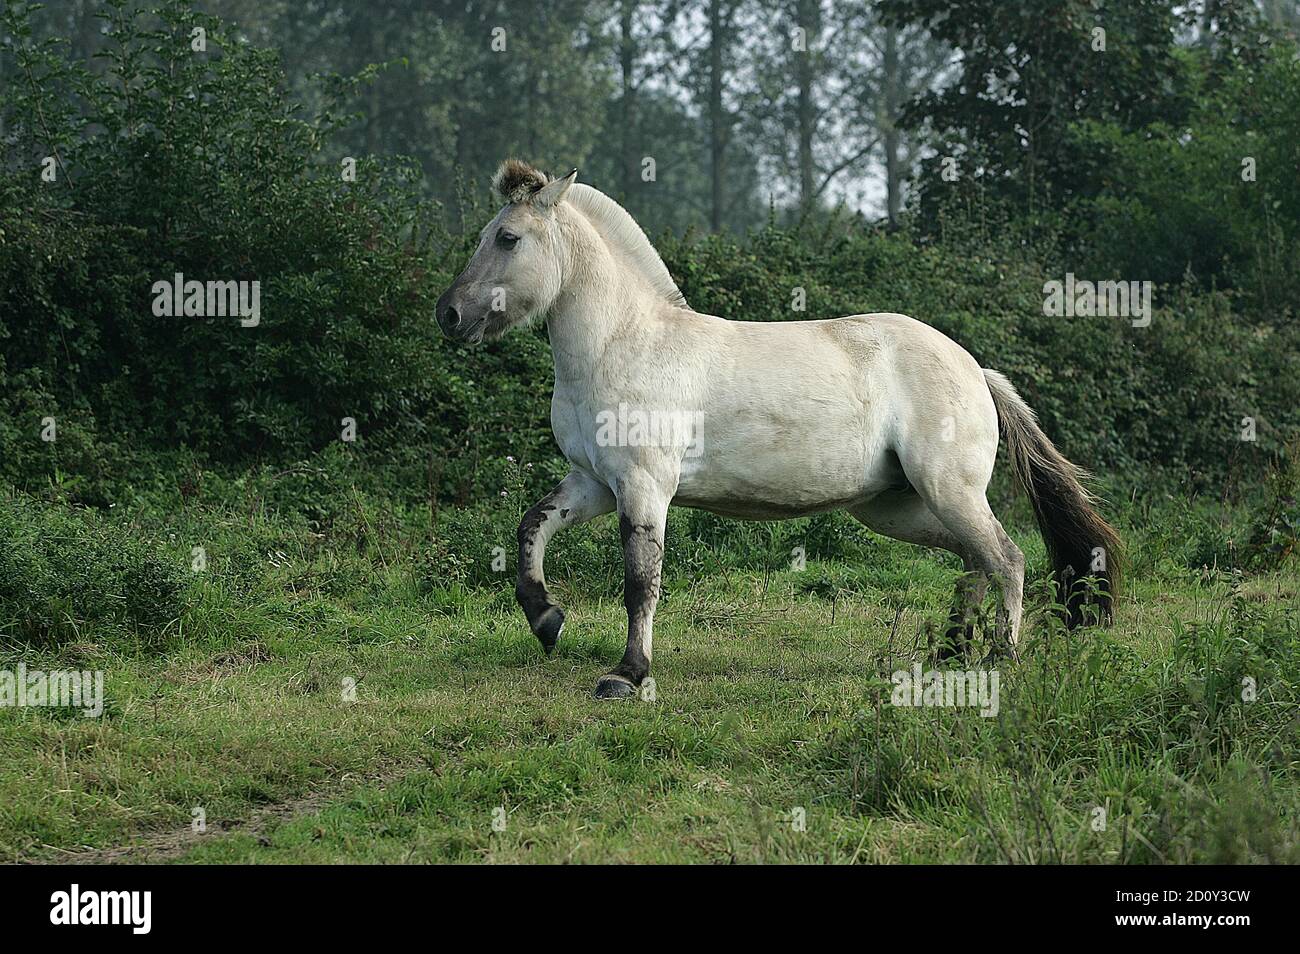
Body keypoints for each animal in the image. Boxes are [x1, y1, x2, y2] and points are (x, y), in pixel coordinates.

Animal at [435, 159, 1121, 699]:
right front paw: (545, 619)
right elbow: (532, 527)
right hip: (896, 506)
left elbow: (639, 583)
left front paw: (627, 676)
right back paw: (948, 654)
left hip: (947, 490)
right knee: (974, 559)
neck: (623, 342)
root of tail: (975, 368)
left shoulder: (643, 487)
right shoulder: (595, 483)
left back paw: (999, 658)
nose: (449, 315)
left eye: (508, 238)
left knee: (1006, 557)